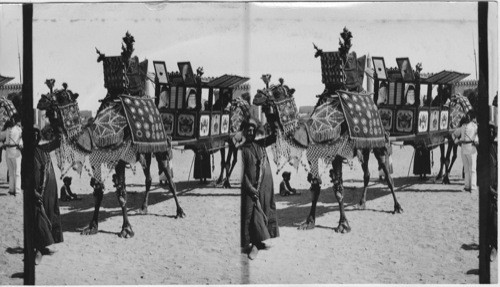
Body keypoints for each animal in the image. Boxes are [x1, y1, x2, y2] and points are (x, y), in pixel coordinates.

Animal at [37, 32, 185, 238]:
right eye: (50, 91)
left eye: (63, 95)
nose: (41, 101)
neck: (97, 135)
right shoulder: (96, 160)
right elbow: (98, 191)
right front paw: (92, 226)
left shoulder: (120, 159)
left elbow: (121, 193)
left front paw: (126, 229)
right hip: (144, 153)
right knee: (148, 178)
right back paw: (143, 207)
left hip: (161, 147)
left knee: (169, 178)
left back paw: (179, 211)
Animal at [254, 28, 402, 233]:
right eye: (266, 87)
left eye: (277, 91)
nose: (256, 96)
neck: (313, 131)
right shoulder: (313, 156)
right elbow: (316, 187)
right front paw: (309, 221)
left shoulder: (337, 155)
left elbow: (338, 189)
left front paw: (343, 224)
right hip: (363, 147)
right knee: (366, 174)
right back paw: (361, 202)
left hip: (379, 143)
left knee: (387, 174)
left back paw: (397, 207)